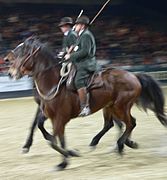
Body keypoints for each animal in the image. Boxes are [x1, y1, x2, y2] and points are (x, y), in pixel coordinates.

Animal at [5, 37, 166, 170]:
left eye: (23, 53)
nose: (10, 72)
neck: (54, 83)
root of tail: (133, 75)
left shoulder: (60, 119)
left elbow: (53, 141)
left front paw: (67, 157)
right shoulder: (51, 116)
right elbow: (50, 134)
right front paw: (66, 157)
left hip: (120, 107)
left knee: (130, 123)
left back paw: (120, 144)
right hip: (110, 106)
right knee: (115, 124)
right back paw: (113, 144)